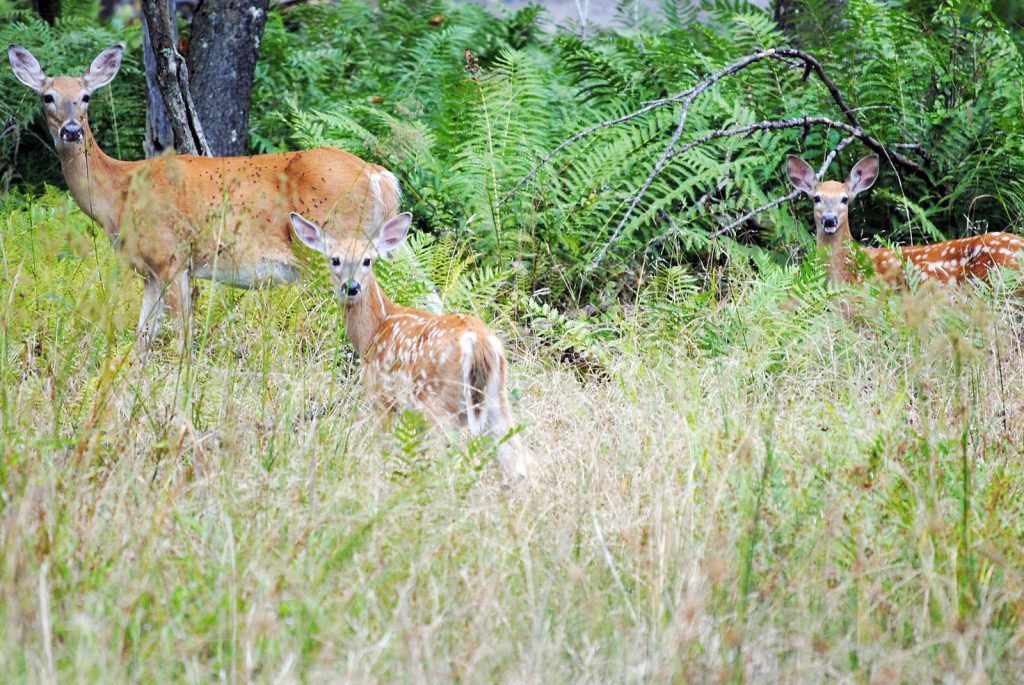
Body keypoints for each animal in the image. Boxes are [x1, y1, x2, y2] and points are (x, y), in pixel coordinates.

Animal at [8, 44, 401, 346]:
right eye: (48, 97)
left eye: (86, 97)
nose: (72, 131)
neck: (119, 193)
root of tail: (380, 177)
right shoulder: (150, 271)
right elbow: (142, 339)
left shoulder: (171, 256)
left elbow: (182, 338)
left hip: (334, 249)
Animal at [288, 210, 532, 480]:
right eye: (335, 260)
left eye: (367, 260)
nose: (351, 287)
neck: (373, 331)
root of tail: (477, 342)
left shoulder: (381, 396)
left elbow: (387, 448)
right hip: (496, 398)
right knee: (516, 459)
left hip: (437, 402)